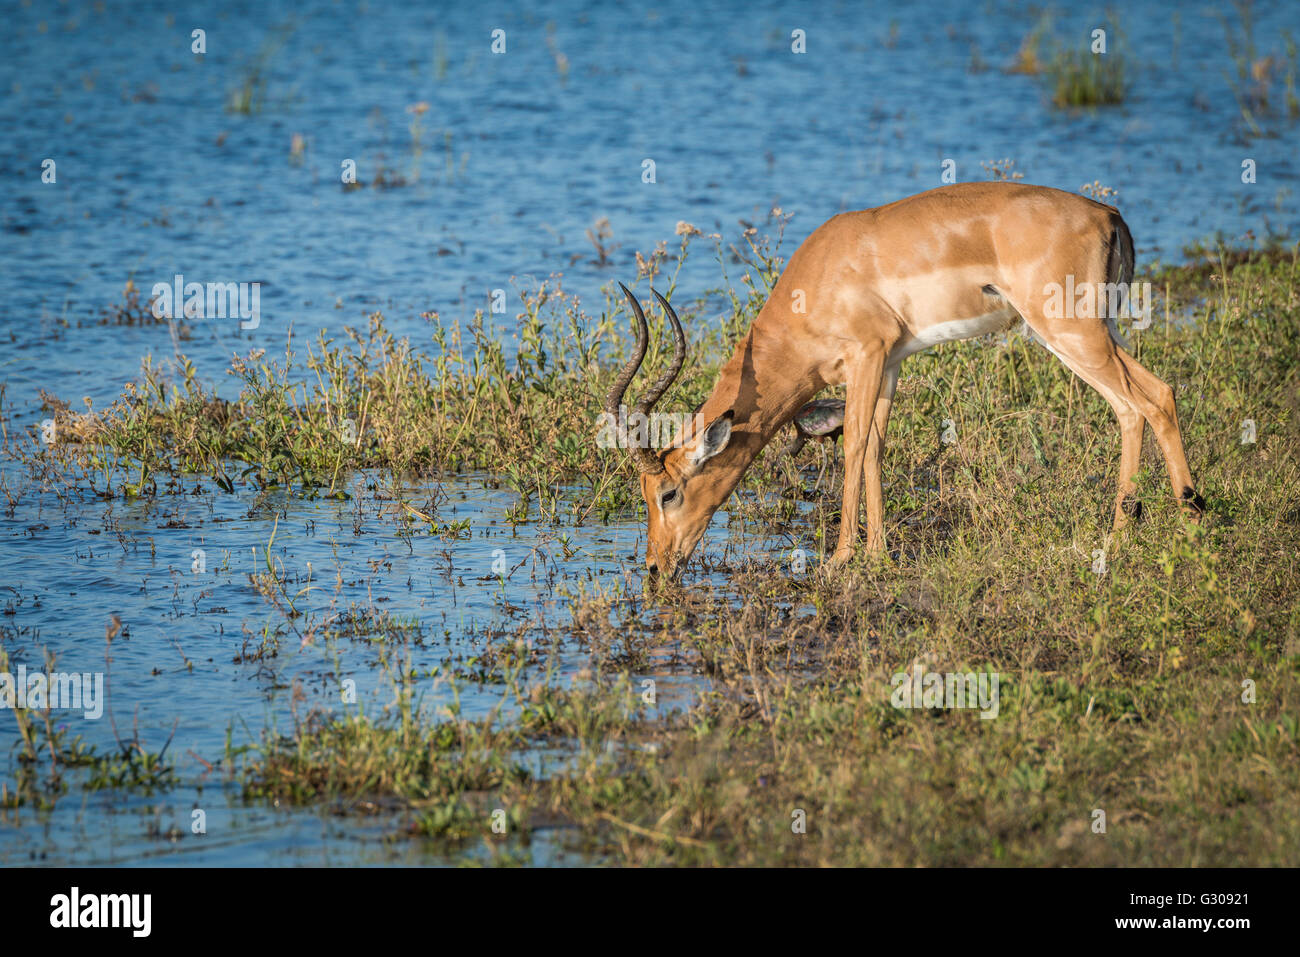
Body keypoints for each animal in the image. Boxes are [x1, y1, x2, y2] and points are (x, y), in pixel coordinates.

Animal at [605, 182, 1204, 578]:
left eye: (668, 491)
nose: (655, 569)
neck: (823, 276)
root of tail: (1109, 213)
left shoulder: (866, 355)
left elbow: (851, 449)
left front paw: (840, 558)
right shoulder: (891, 362)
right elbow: (874, 446)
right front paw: (877, 553)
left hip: (1069, 331)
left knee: (1142, 402)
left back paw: (1151, 528)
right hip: (1096, 332)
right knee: (1152, 397)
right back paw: (1160, 521)